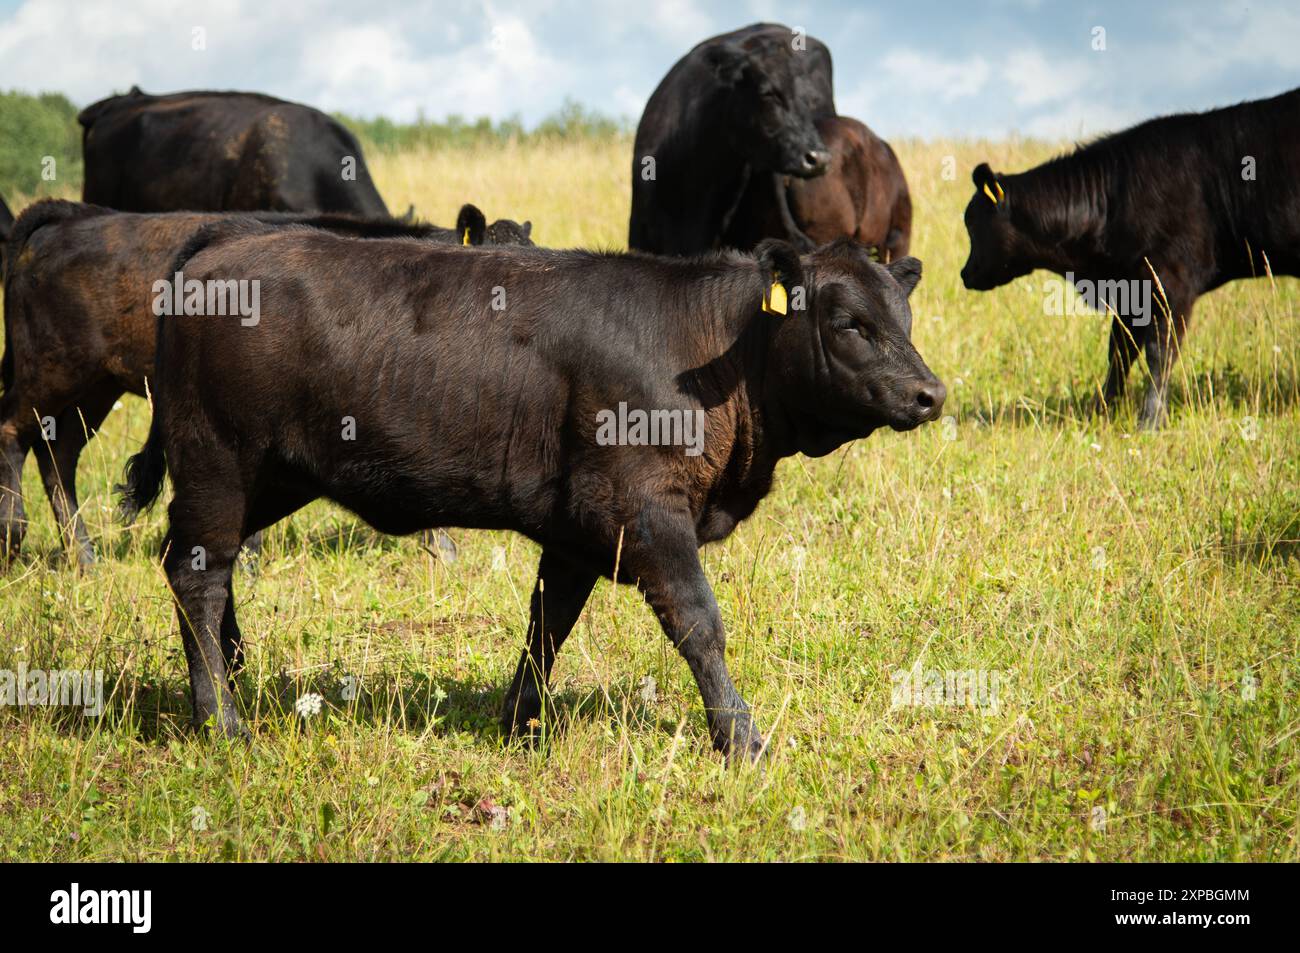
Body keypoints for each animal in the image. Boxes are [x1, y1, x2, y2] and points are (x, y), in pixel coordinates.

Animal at [0, 200, 534, 567]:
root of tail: (70, 217)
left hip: (94, 386)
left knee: (58, 452)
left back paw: (83, 556)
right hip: (51, 367)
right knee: (14, 433)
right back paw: (13, 534)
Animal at [117, 226, 945, 760]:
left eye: (904, 317)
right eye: (850, 323)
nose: (929, 393)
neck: (709, 352)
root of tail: (221, 244)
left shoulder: (578, 529)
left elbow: (547, 623)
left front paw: (520, 723)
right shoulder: (645, 511)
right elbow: (700, 625)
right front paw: (741, 738)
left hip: (272, 475)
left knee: (208, 568)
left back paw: (234, 674)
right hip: (219, 461)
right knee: (197, 572)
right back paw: (222, 722)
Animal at [961, 87, 1300, 429]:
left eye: (973, 224)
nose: (965, 274)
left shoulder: (1171, 283)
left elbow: (1159, 353)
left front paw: (1149, 419)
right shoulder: (1130, 289)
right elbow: (1120, 351)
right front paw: (1102, 407)